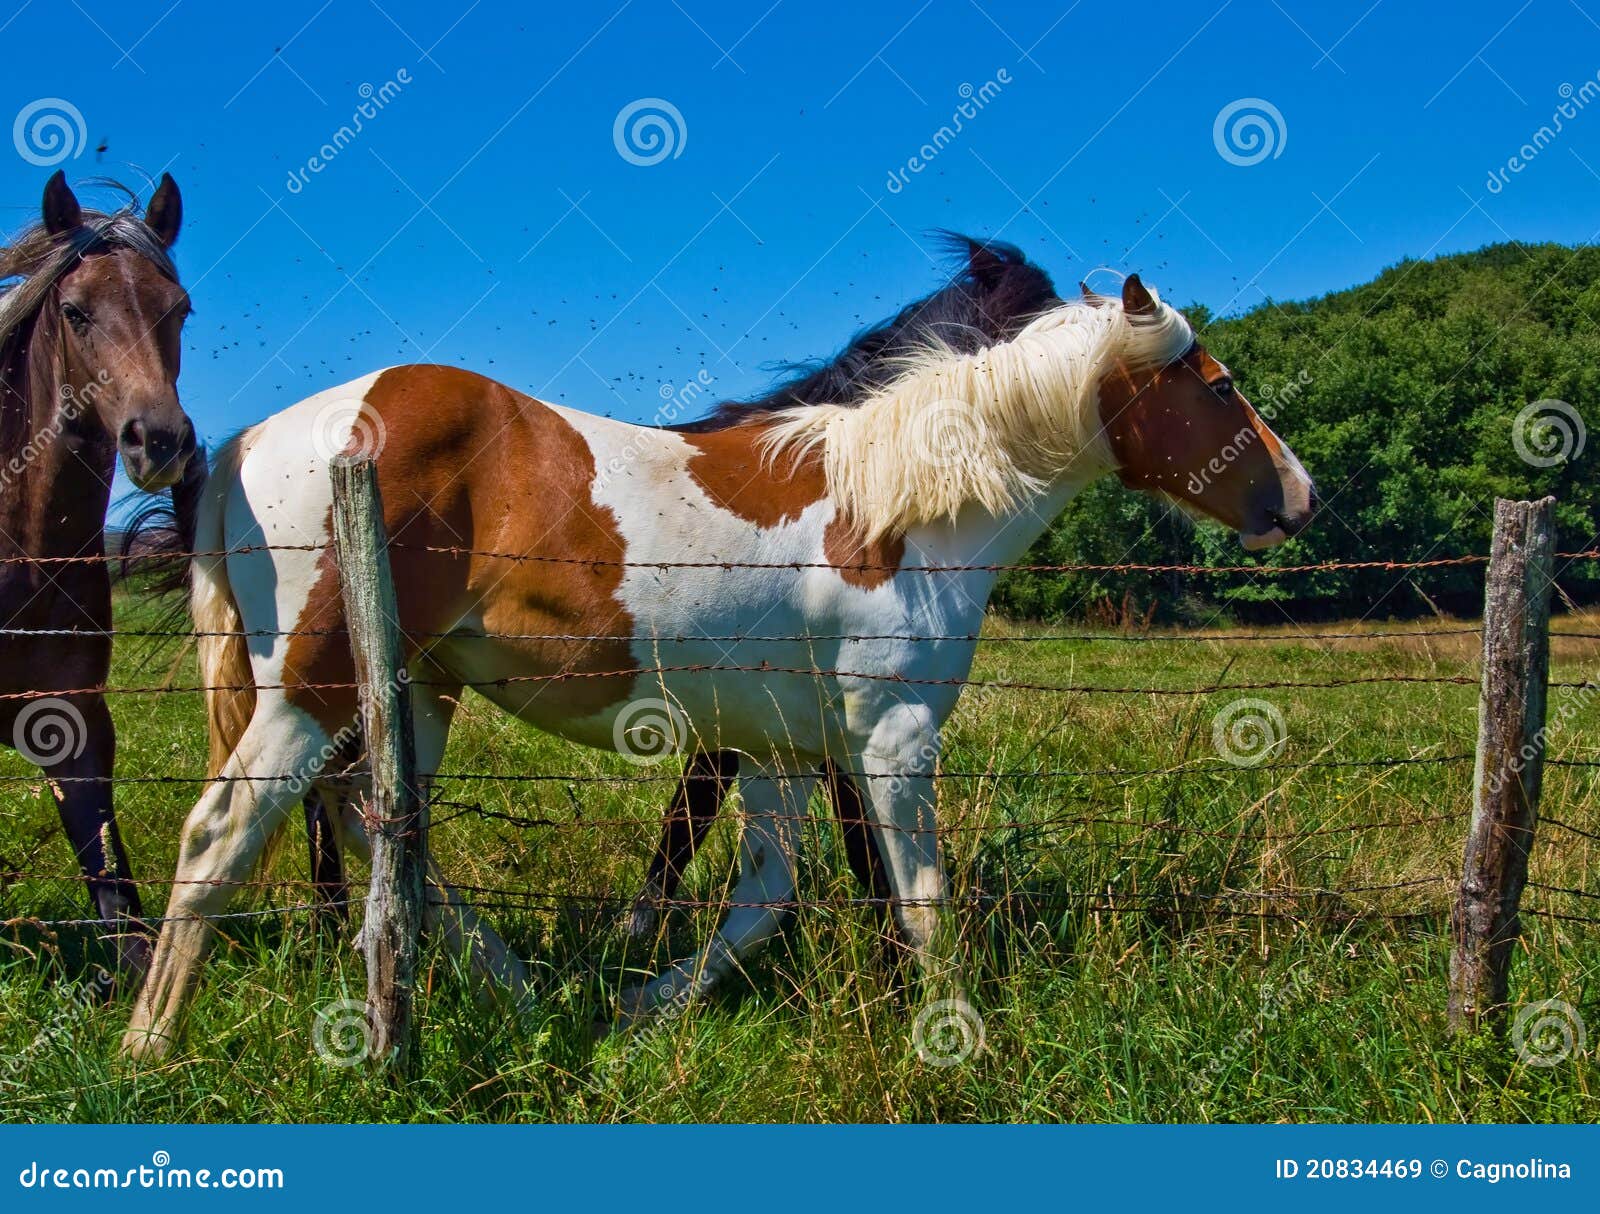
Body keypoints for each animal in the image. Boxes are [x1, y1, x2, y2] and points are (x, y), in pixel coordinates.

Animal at [123, 262, 1316, 1061]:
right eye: (1217, 386)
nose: (1299, 497)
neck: (900, 511)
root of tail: (246, 442)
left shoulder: (779, 750)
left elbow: (763, 903)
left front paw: (640, 1007)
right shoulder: (893, 740)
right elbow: (924, 904)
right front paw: (955, 1039)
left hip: (411, 691)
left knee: (383, 832)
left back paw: (517, 988)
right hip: (313, 686)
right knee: (222, 832)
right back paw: (149, 1045)